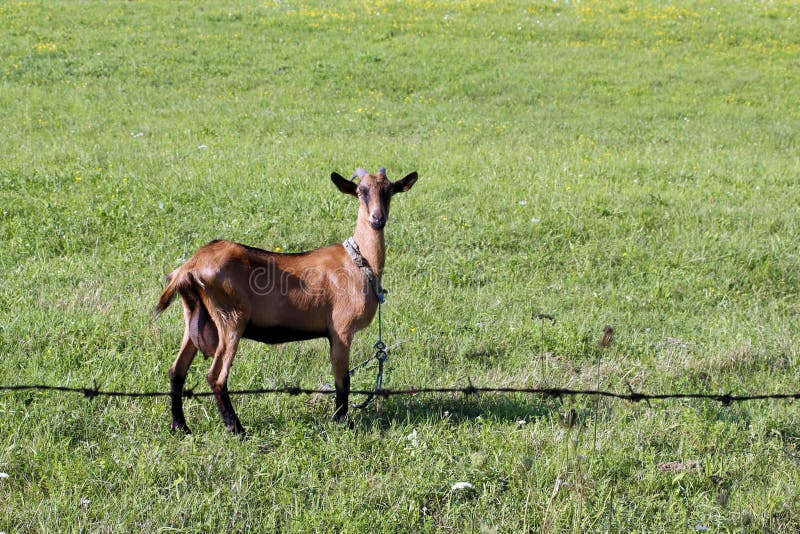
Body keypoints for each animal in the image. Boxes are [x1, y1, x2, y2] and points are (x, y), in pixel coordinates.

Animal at [154, 168, 418, 434]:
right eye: (361, 192)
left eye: (388, 191)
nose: (377, 219)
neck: (358, 262)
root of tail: (189, 268)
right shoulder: (341, 329)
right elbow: (342, 379)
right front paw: (344, 422)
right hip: (230, 319)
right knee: (216, 376)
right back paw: (236, 429)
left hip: (194, 318)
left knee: (176, 370)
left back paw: (180, 426)